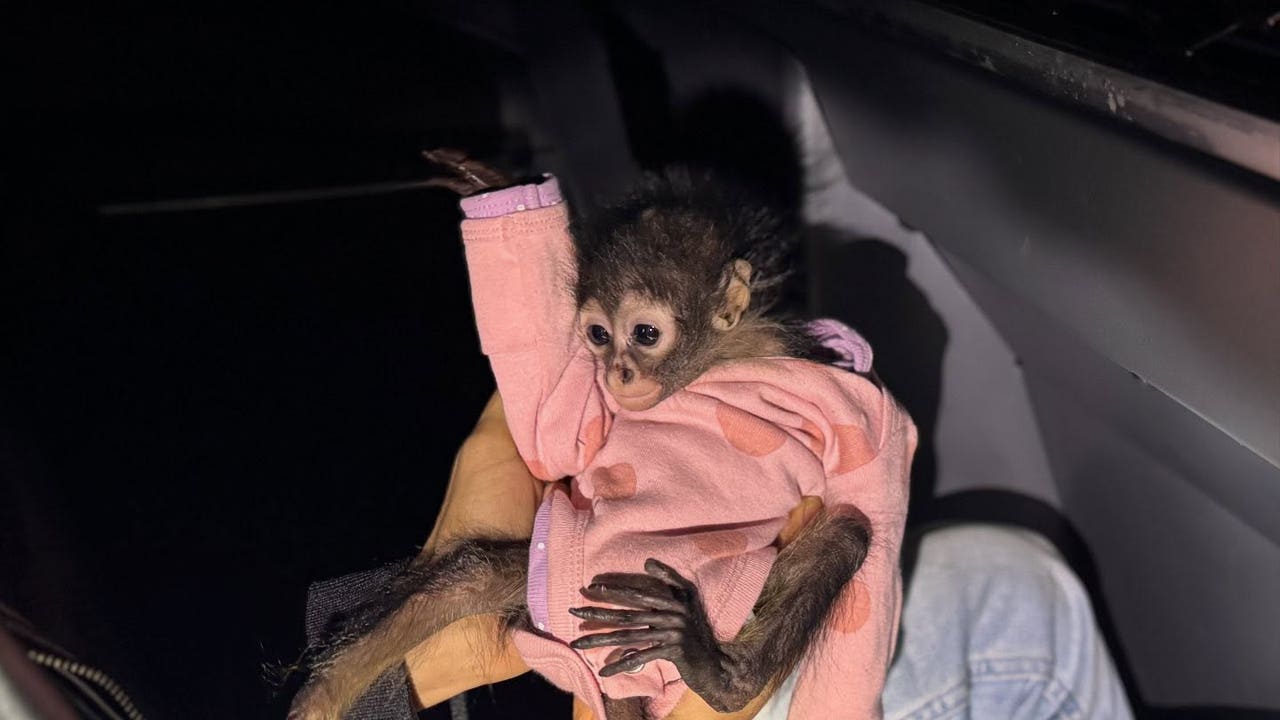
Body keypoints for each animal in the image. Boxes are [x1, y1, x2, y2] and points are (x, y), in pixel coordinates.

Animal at [288, 155, 914, 720]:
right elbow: (552, 437)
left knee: (850, 534)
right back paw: (319, 702)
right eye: (597, 334)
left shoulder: (844, 398)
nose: (618, 373)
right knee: (468, 575)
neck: (715, 362)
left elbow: (875, 478)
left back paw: (720, 675)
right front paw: (491, 185)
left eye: (645, 334)